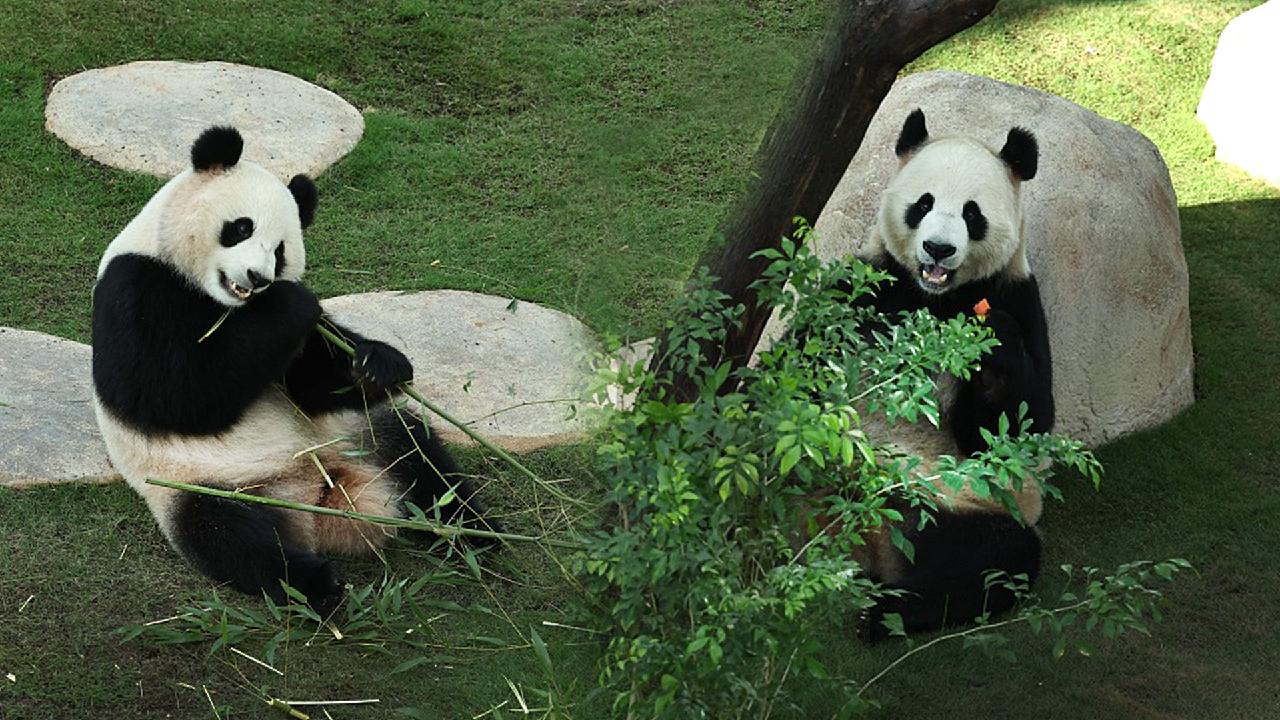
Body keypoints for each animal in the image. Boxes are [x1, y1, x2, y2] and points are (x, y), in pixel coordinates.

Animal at [92, 126, 500, 615]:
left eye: (281, 250)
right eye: (242, 227)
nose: (259, 278)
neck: (224, 303)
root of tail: (319, 495)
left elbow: (310, 383)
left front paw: (378, 363)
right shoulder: (137, 287)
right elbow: (171, 398)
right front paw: (291, 304)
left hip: (359, 434)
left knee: (421, 461)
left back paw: (473, 531)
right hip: (198, 485)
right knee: (234, 538)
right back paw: (319, 584)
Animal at [813, 108, 1054, 639]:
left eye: (971, 213)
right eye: (923, 204)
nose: (938, 249)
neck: (934, 296)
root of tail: (867, 542)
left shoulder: (1018, 296)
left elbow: (1018, 431)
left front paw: (991, 340)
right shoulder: (867, 282)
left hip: (954, 506)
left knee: (998, 558)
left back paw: (885, 613)